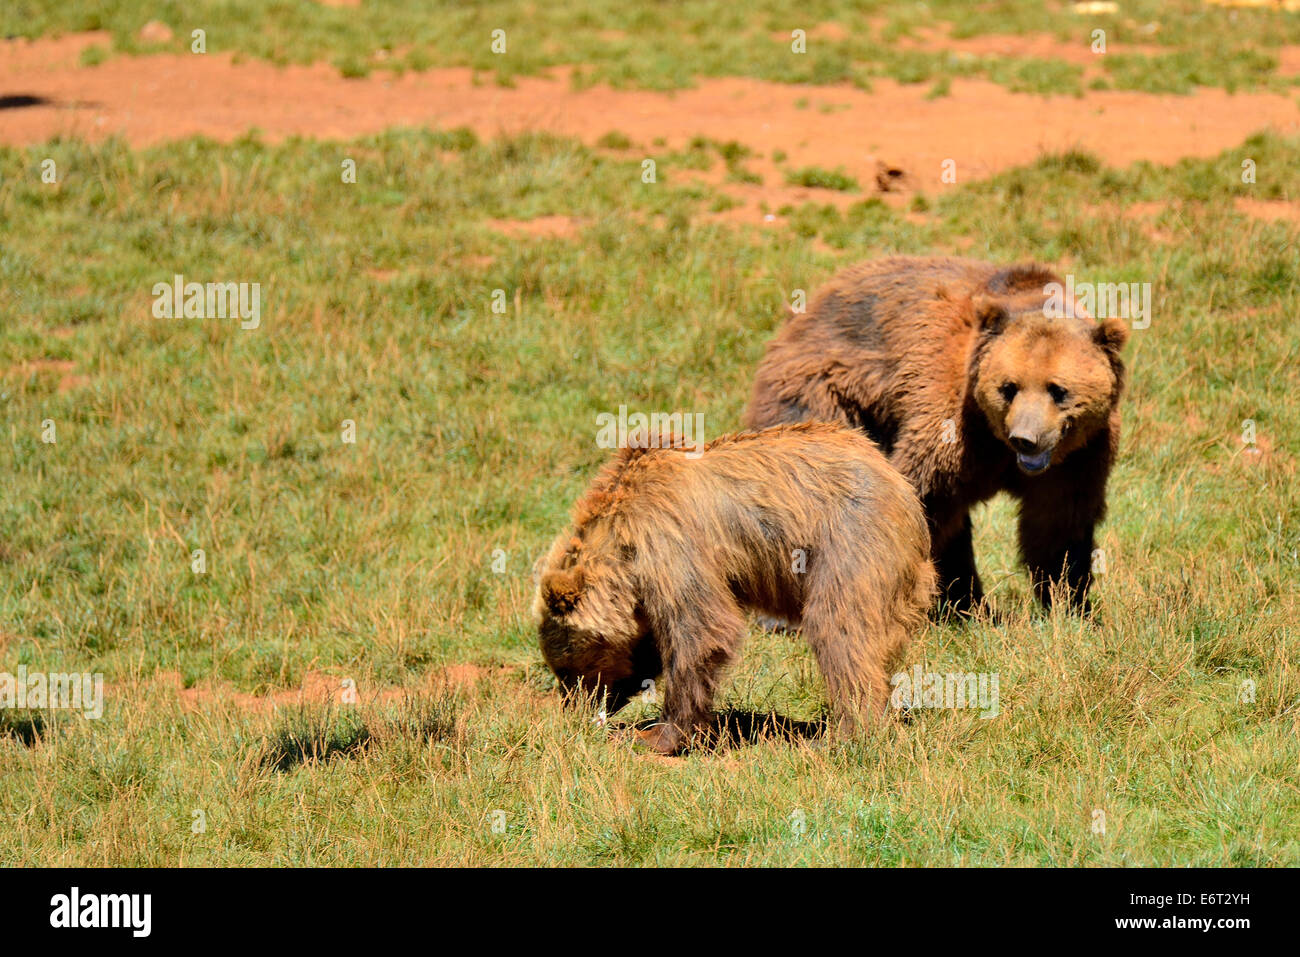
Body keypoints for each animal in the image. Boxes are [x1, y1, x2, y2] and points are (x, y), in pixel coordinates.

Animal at [533, 422, 935, 755]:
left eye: (567, 669)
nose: (575, 709)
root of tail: (903, 488)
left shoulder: (668, 540)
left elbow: (700, 630)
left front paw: (657, 734)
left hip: (849, 542)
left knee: (840, 629)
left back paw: (844, 734)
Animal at [746, 256, 1129, 614]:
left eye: (1057, 389)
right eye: (1009, 387)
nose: (1025, 438)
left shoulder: (1079, 456)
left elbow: (1058, 524)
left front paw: (1069, 602)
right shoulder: (950, 419)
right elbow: (921, 497)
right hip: (826, 390)